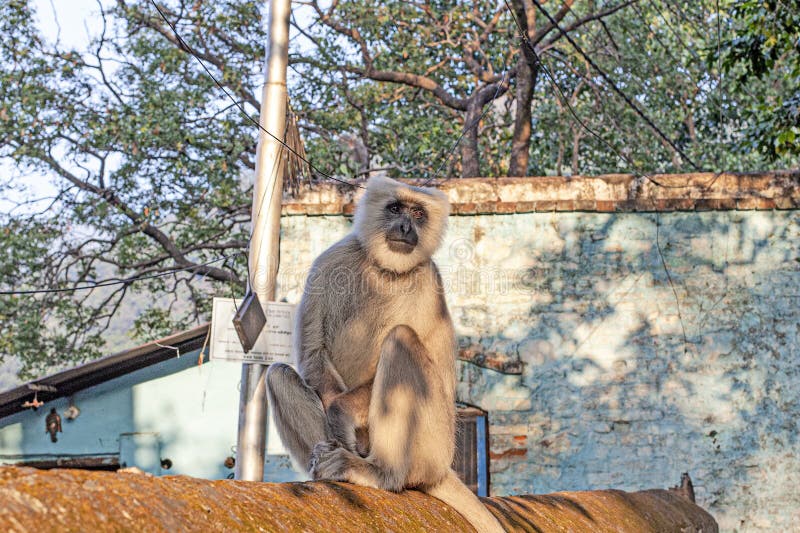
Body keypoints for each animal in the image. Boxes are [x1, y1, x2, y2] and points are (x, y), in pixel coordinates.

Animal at [266, 176, 503, 532]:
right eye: (395, 208)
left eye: (417, 213)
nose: (405, 226)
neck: (383, 269)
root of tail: (443, 468)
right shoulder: (332, 260)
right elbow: (312, 352)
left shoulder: (427, 281)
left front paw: (341, 413)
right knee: (278, 374)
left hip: (432, 444)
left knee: (401, 339)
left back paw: (380, 473)